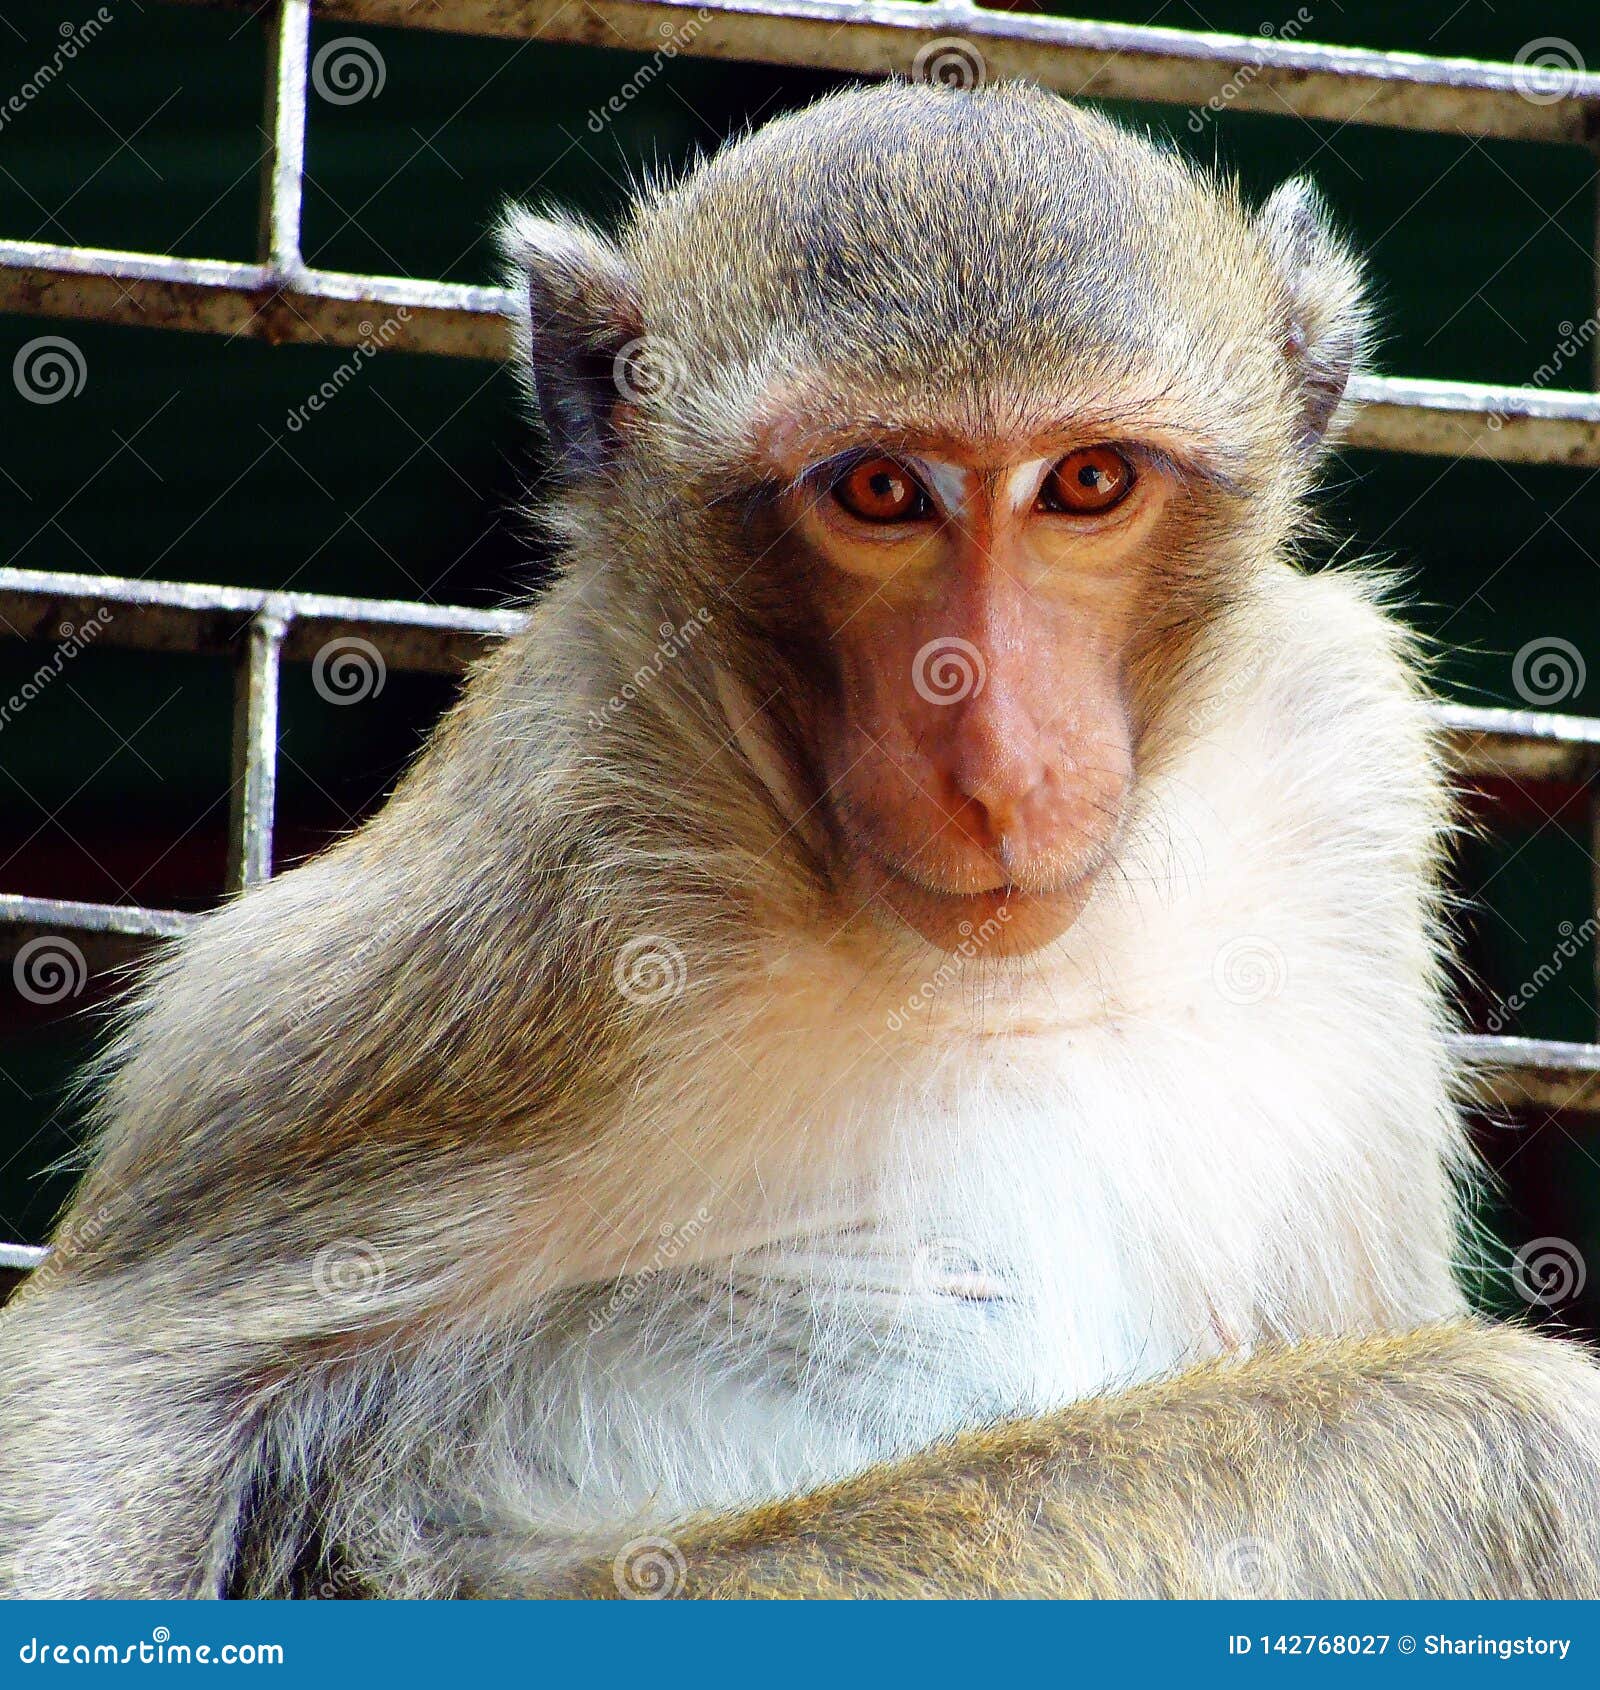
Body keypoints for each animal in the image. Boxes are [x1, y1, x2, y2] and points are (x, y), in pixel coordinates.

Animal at [3, 78, 1600, 1602]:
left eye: (1087, 481)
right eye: (880, 490)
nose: (1000, 761)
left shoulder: (1330, 758)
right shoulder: (557, 857)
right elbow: (123, 1374)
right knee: (1524, 1433)